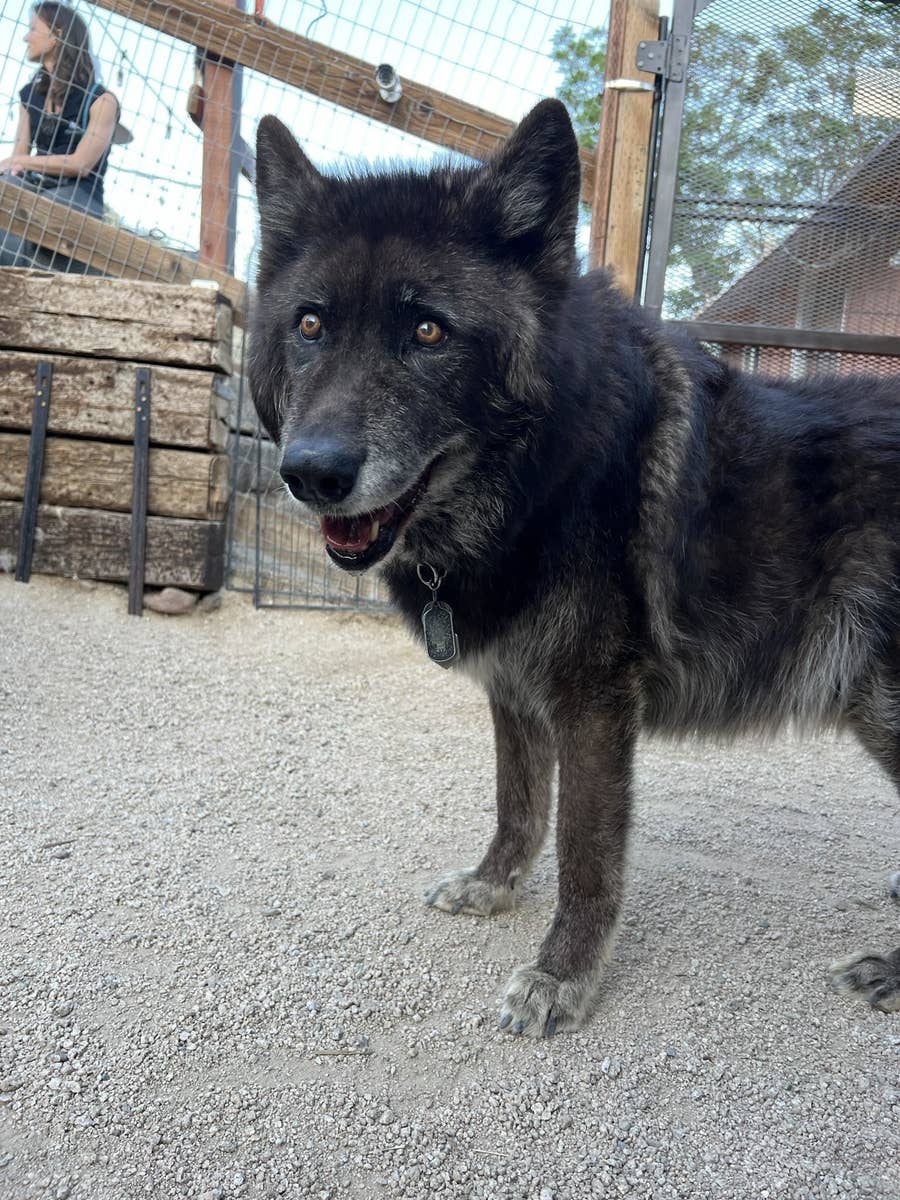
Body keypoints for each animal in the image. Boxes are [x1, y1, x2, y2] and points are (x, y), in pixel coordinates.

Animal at [249, 99, 900, 1036]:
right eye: (309, 325)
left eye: (427, 330)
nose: (312, 474)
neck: (547, 476)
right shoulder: (515, 691)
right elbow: (518, 804)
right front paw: (493, 887)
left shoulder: (592, 704)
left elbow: (585, 853)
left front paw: (562, 976)